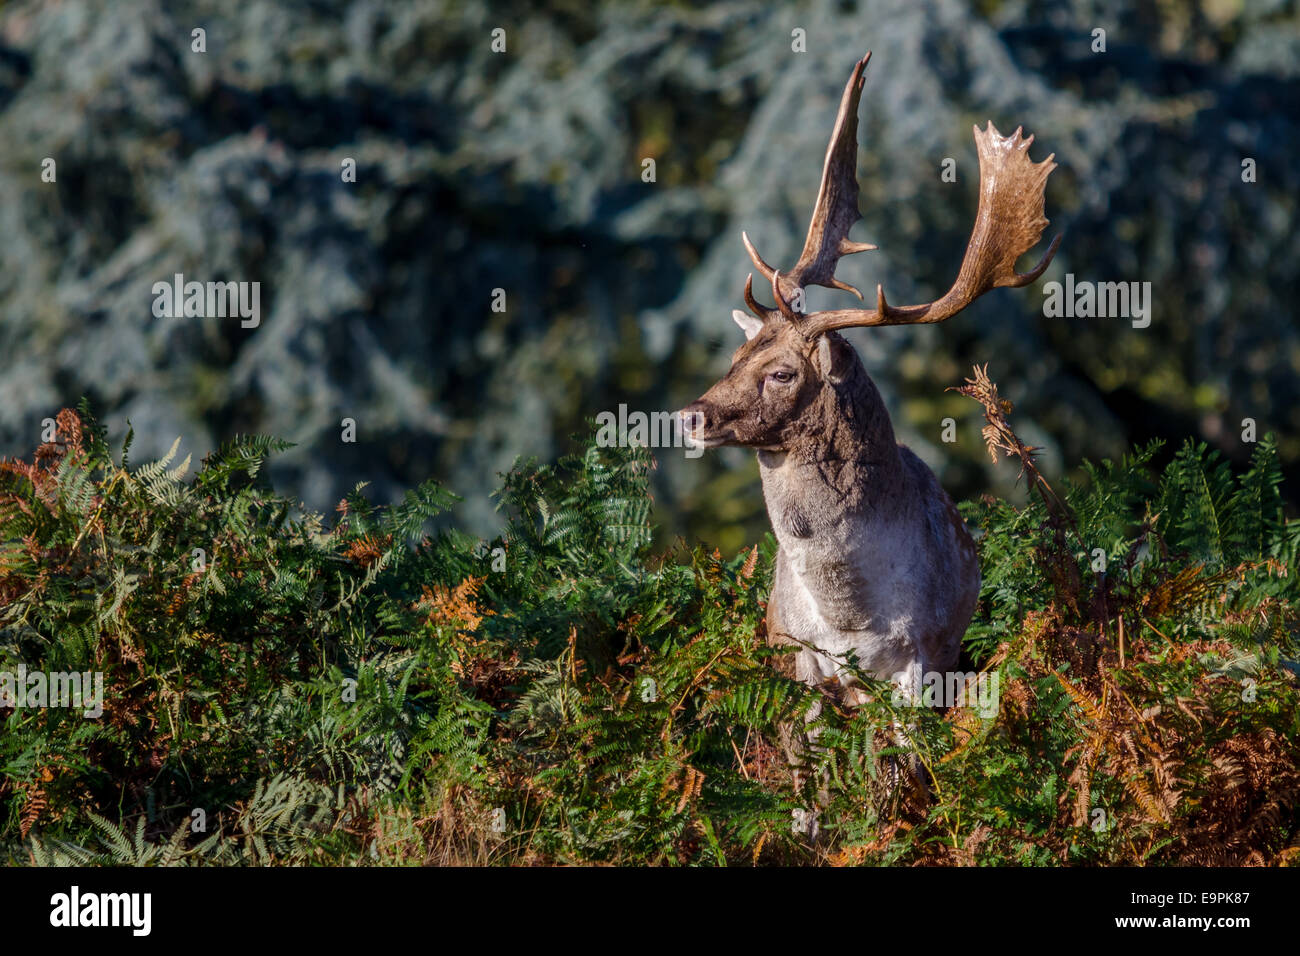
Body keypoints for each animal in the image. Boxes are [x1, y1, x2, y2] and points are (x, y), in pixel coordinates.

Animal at [678, 52, 1060, 790]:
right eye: (737, 355)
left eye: (782, 373)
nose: (690, 415)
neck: (850, 616)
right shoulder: (798, 658)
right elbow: (806, 786)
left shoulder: (921, 660)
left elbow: (907, 775)